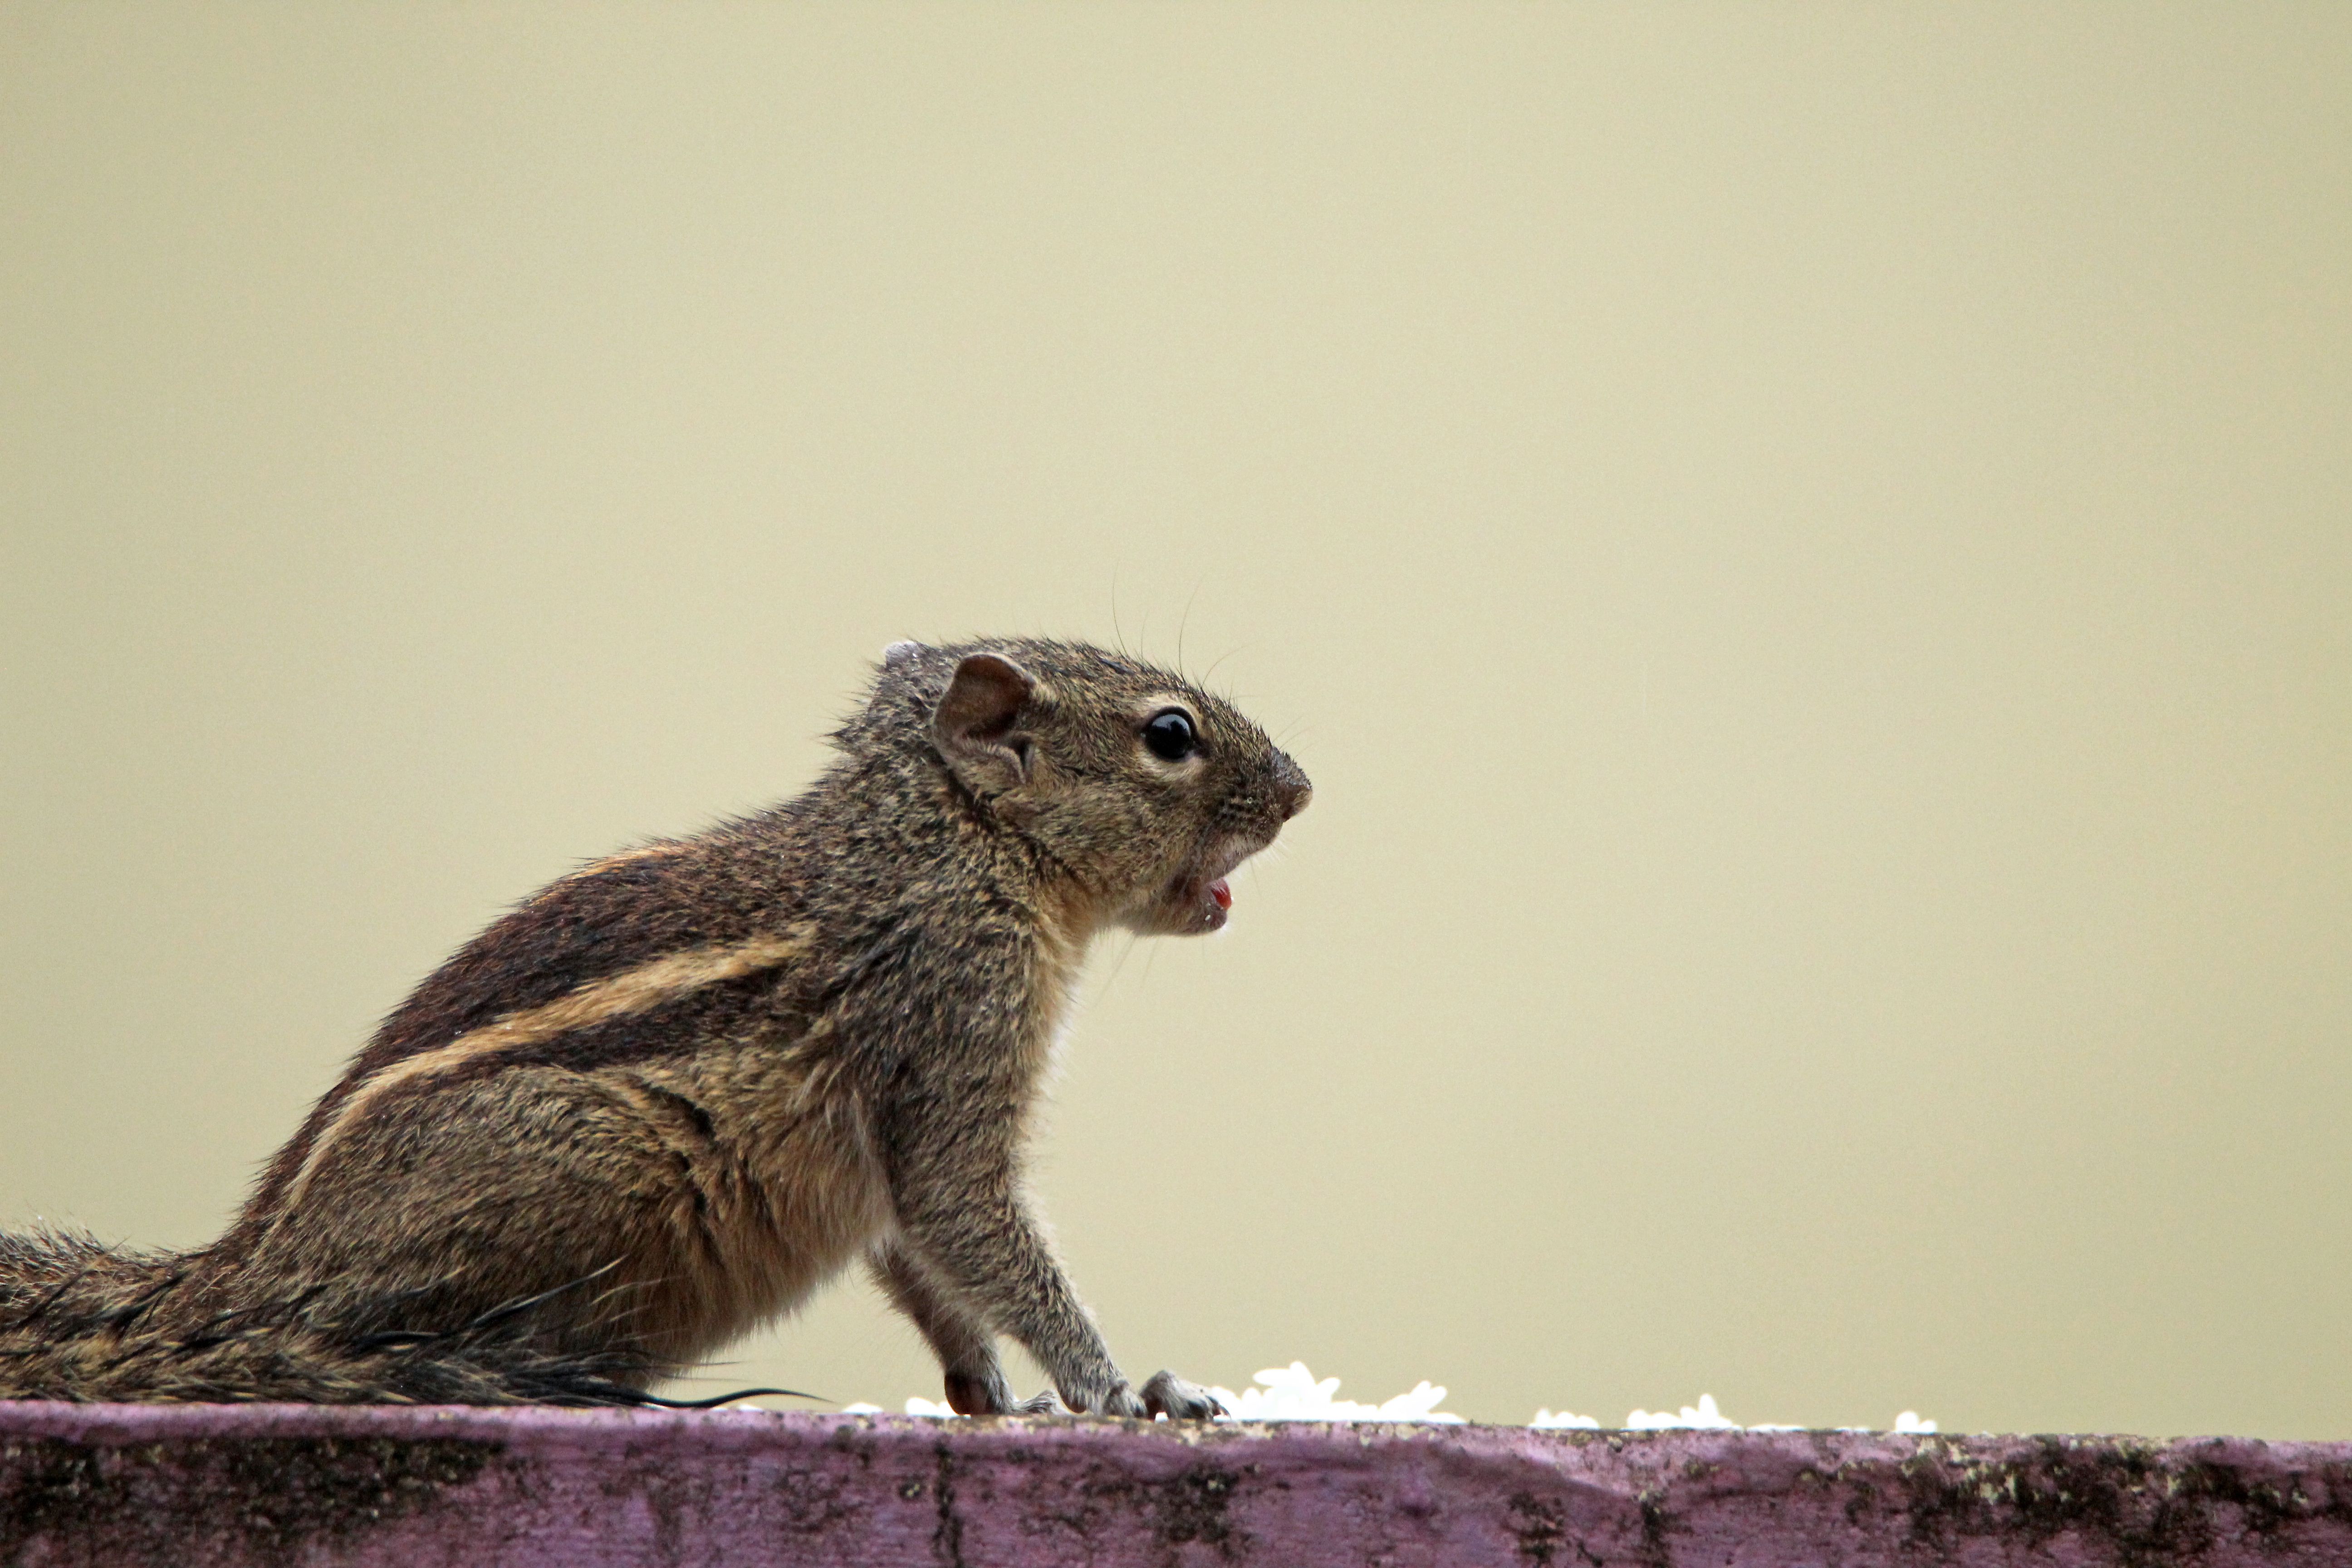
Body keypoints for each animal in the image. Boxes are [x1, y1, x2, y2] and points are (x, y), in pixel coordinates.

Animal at [0, 638, 1310, 1416]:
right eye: (1171, 735)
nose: (1302, 789)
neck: (948, 839)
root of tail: (228, 1275)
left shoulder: (888, 1164)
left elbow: (926, 1269)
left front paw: (995, 1396)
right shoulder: (951, 1031)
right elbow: (973, 1227)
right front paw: (1122, 1393)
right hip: (590, 1168)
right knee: (338, 1345)